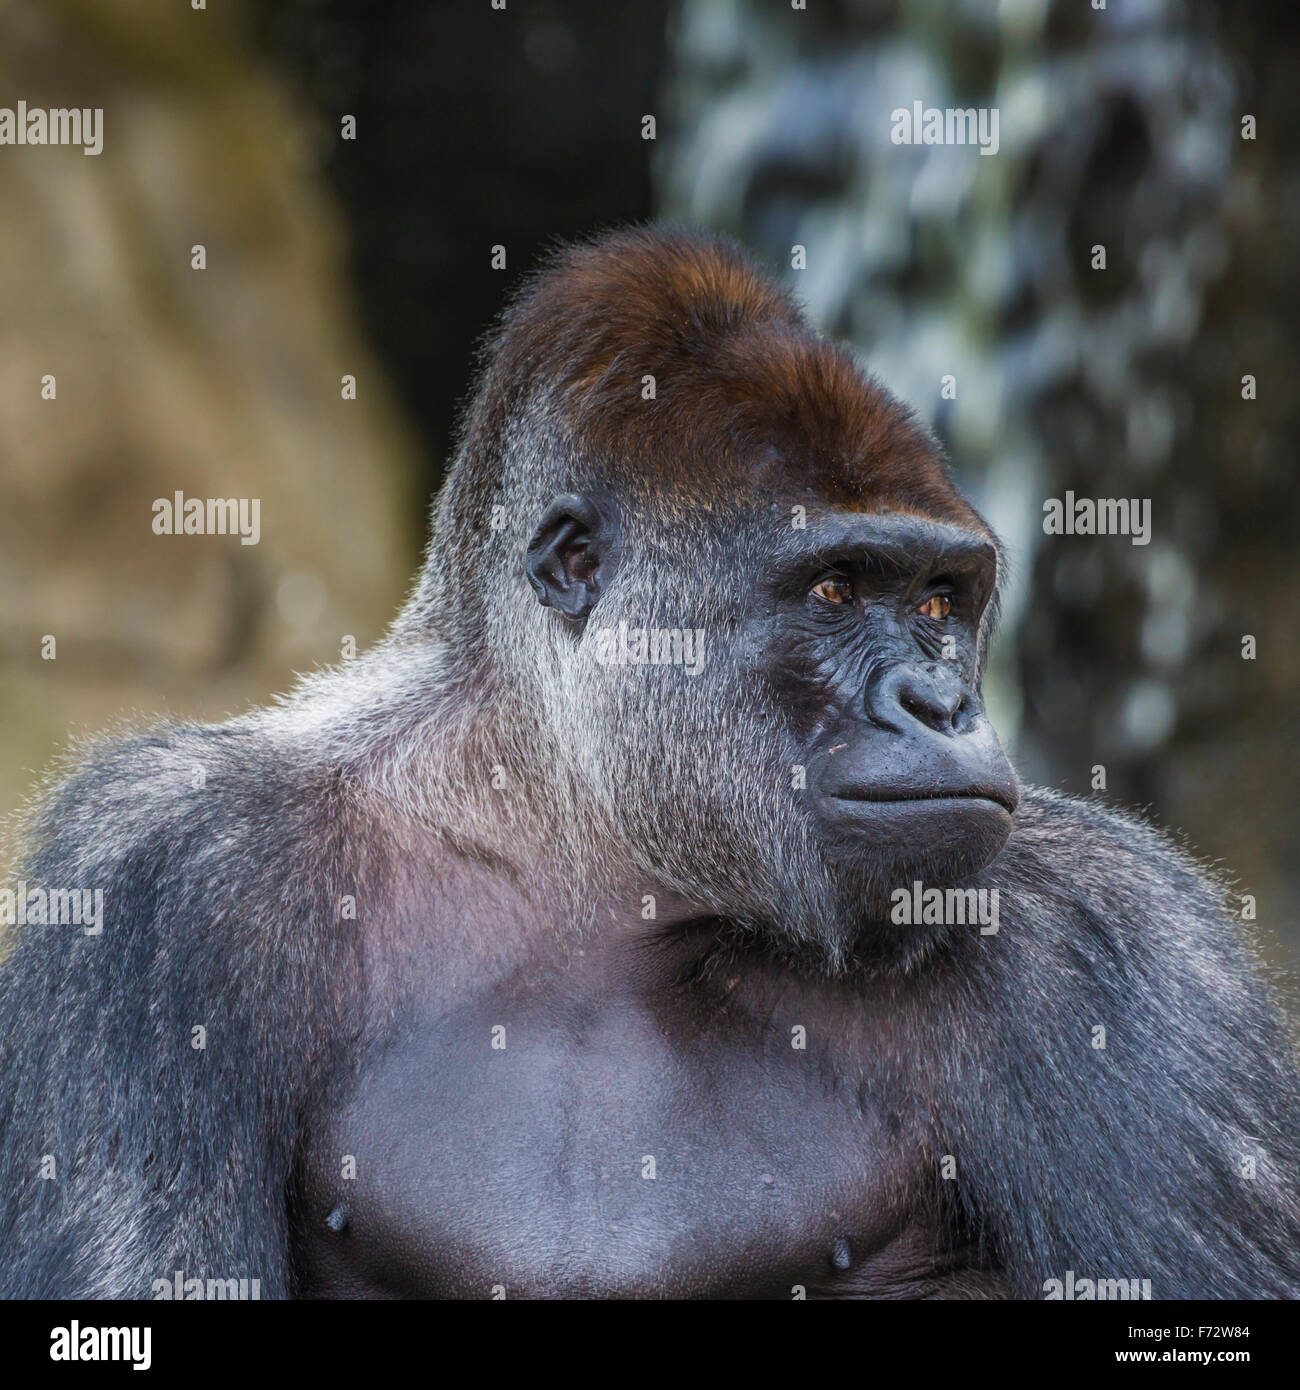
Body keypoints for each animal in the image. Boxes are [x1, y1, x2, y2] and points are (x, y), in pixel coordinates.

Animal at [0, 227, 1297, 1300]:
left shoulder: (1115, 938)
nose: (942, 701)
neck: (572, 845)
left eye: (940, 600)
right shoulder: (159, 876)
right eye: (834, 589)